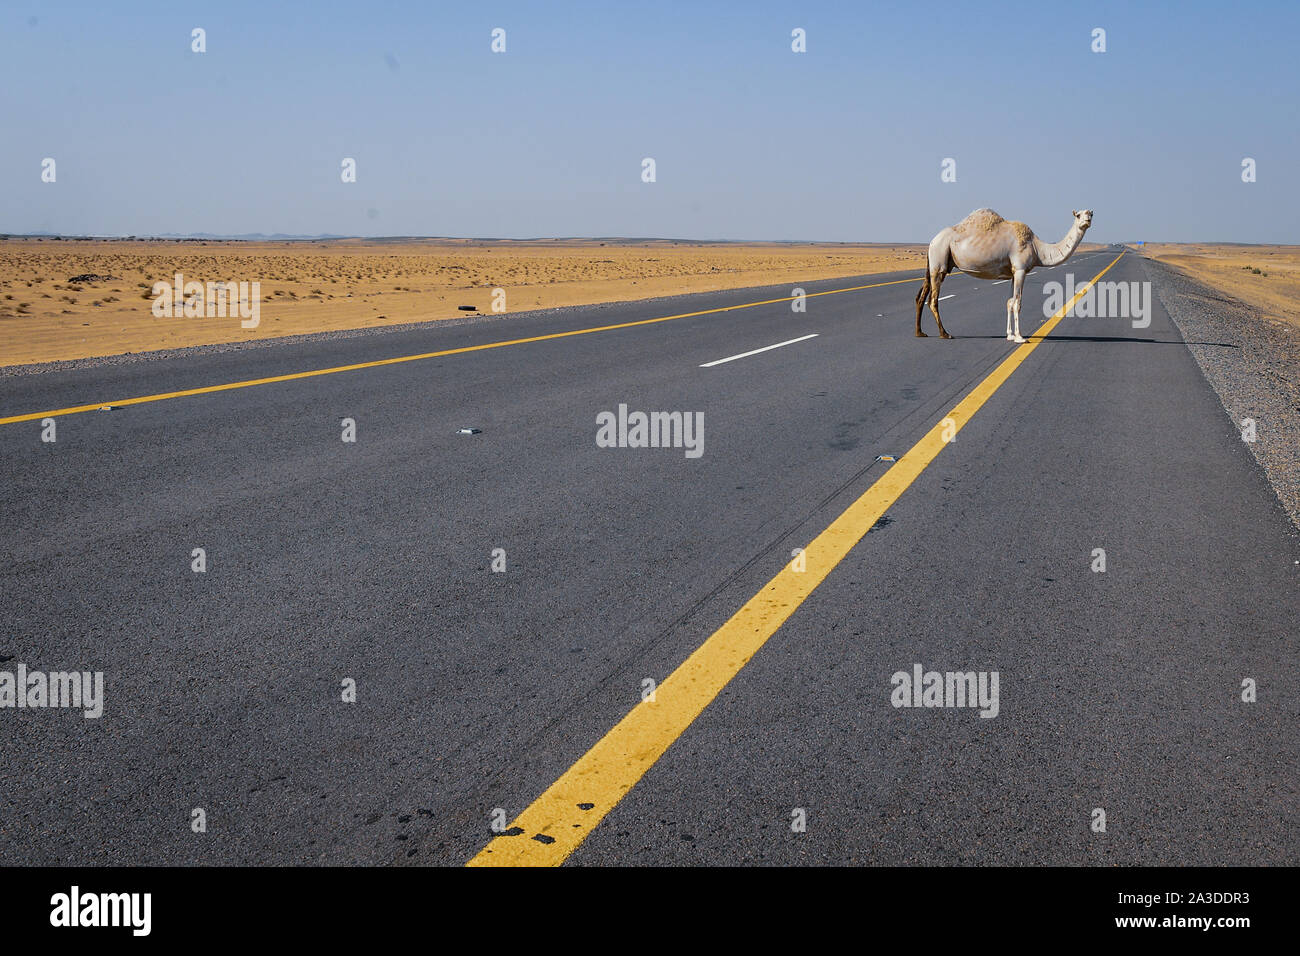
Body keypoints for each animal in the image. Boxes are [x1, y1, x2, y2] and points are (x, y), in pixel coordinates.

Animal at [915, 208, 1092, 342]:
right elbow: (1017, 303)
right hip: (939, 260)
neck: (1037, 248)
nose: (1087, 220)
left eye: (1091, 213)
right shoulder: (1020, 269)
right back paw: (945, 334)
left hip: (935, 263)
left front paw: (1010, 335)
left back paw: (920, 332)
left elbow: (1009, 302)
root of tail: (932, 242)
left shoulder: (1013, 272)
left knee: (921, 297)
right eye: (1078, 215)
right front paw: (1020, 337)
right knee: (933, 300)